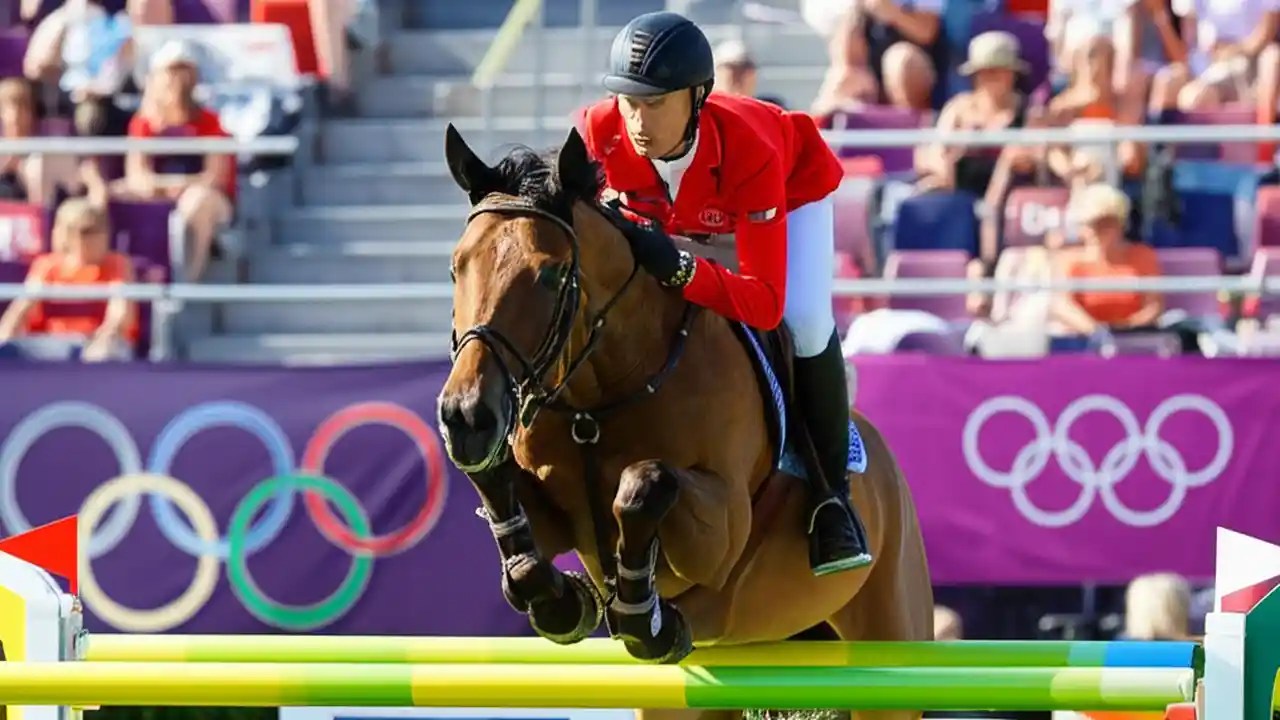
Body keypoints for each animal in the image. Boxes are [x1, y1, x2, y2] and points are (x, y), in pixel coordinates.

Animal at [435, 123, 934, 720]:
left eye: (552, 274)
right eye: (456, 266)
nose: (466, 417)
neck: (598, 400)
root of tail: (888, 469)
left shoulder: (723, 530)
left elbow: (645, 482)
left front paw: (643, 617)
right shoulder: (558, 514)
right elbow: (508, 508)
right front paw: (566, 602)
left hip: (891, 635)